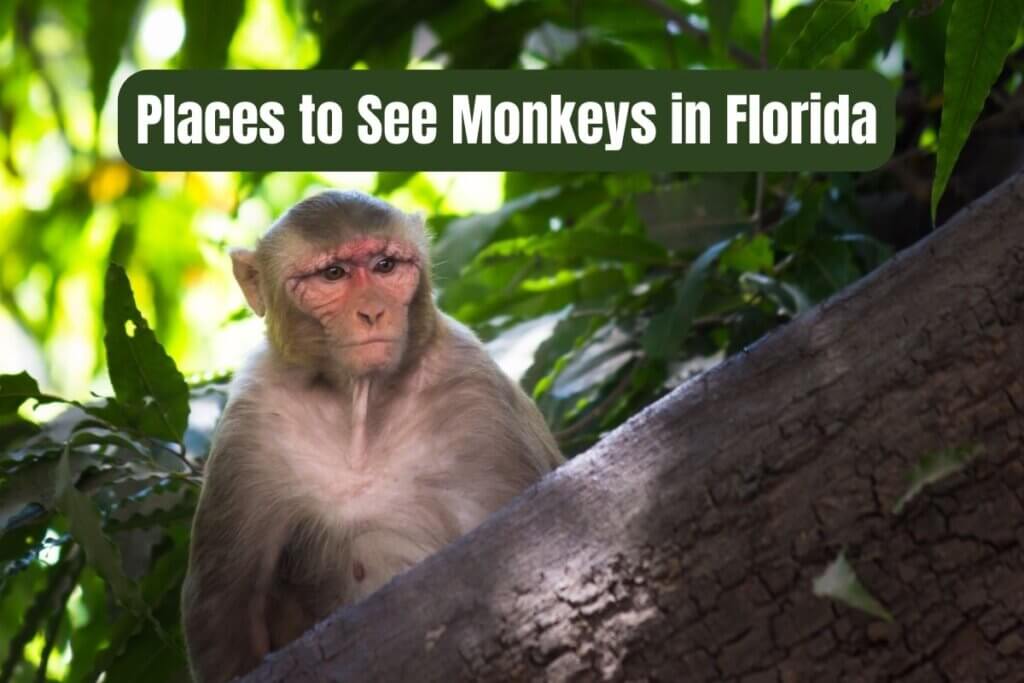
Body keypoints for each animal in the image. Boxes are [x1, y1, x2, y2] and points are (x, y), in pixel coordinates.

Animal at [181, 190, 563, 683]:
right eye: (333, 274)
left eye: (385, 266)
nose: (373, 312)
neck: (359, 409)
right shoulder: (251, 421)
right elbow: (224, 611)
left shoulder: (478, 394)